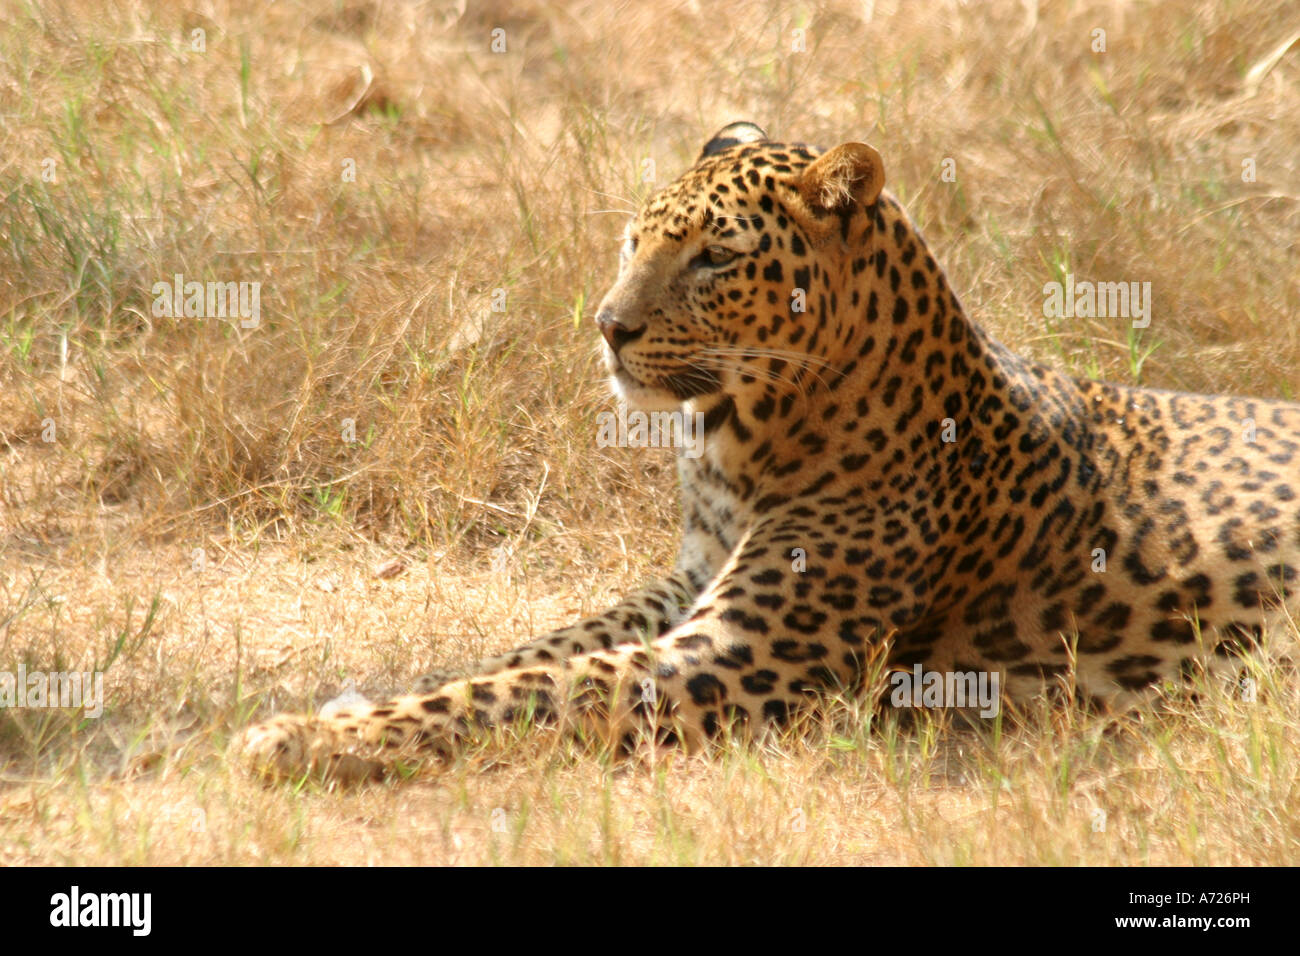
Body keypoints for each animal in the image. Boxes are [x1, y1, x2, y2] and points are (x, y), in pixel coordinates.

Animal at [239, 121, 1300, 783]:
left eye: (715, 257)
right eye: (631, 241)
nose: (607, 326)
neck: (734, 438)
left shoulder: (738, 655)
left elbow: (535, 689)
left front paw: (297, 738)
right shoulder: (688, 578)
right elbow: (535, 649)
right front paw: (356, 705)